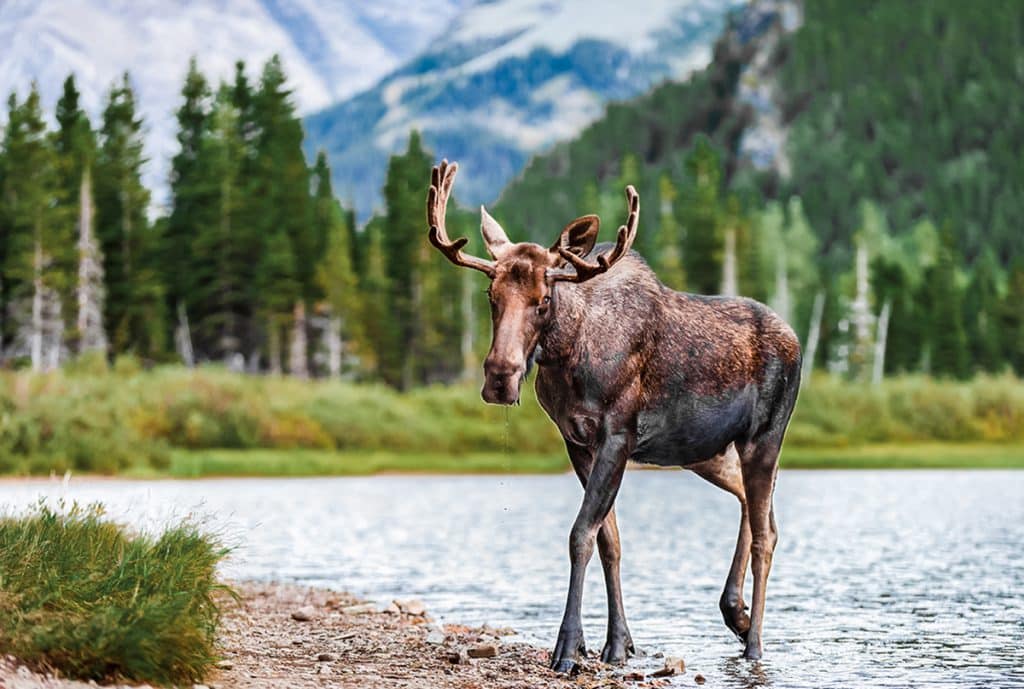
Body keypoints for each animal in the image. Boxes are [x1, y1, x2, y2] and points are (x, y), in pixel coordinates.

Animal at [426, 160, 801, 672]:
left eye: (544, 299)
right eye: (490, 294)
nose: (500, 377)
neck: (567, 358)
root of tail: (797, 340)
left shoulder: (617, 436)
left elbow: (581, 534)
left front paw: (568, 647)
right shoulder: (576, 441)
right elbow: (610, 540)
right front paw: (617, 643)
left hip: (764, 437)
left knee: (766, 535)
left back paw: (755, 642)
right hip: (708, 452)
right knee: (758, 510)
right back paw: (736, 614)